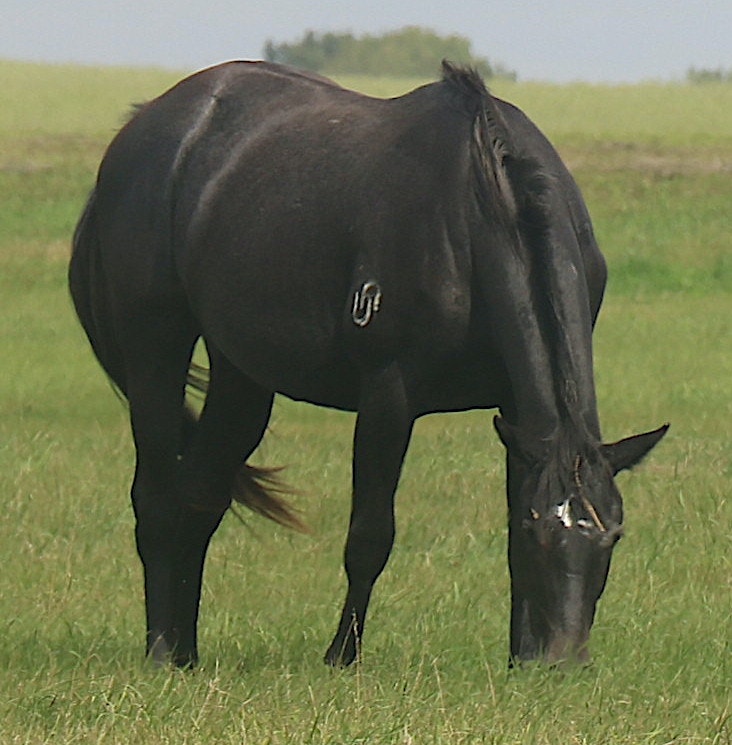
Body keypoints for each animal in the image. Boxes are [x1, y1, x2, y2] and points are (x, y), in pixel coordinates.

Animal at [69, 60, 668, 669]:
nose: (562, 659)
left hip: (242, 374)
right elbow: (371, 534)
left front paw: (518, 654)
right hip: (155, 351)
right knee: (156, 497)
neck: (477, 206)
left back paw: (186, 652)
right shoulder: (389, 394)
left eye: (613, 534)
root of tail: (141, 129)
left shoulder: (517, 411)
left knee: (200, 494)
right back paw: (160, 650)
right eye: (538, 529)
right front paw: (342, 657)